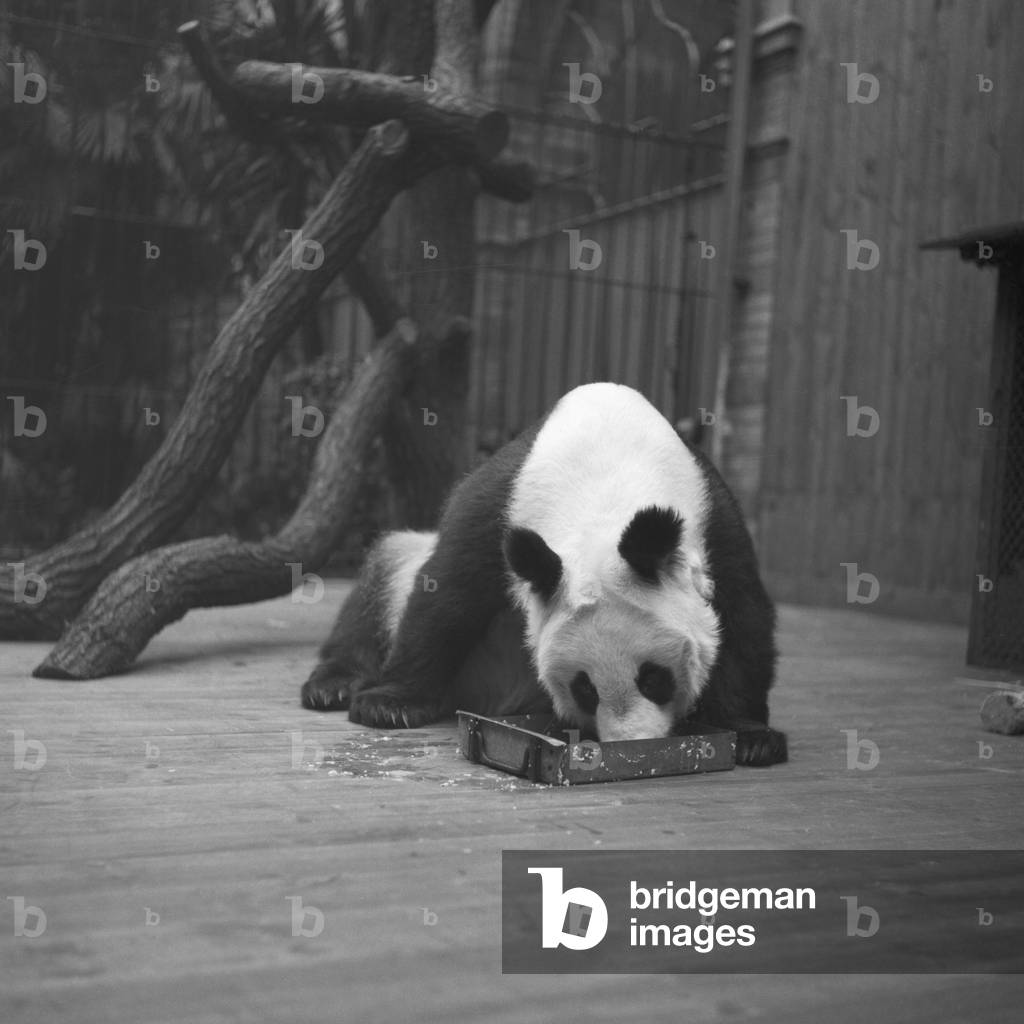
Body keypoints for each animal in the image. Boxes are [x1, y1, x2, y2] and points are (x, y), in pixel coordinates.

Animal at [302, 382, 787, 766]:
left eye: (654, 679)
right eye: (585, 688)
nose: (630, 742)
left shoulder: (712, 512)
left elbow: (741, 615)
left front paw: (752, 737)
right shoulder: (500, 501)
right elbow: (447, 594)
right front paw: (390, 705)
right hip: (406, 573)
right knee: (384, 574)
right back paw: (333, 686)